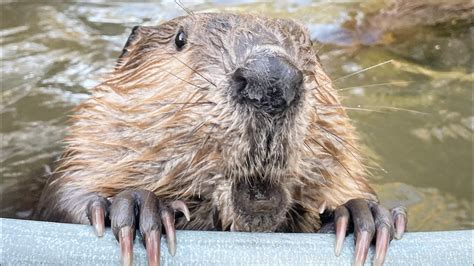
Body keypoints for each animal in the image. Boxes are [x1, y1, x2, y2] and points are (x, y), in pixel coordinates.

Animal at [36, 13, 408, 266]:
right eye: (180, 39)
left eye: (311, 47)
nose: (271, 78)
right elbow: (66, 195)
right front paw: (136, 208)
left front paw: (364, 217)